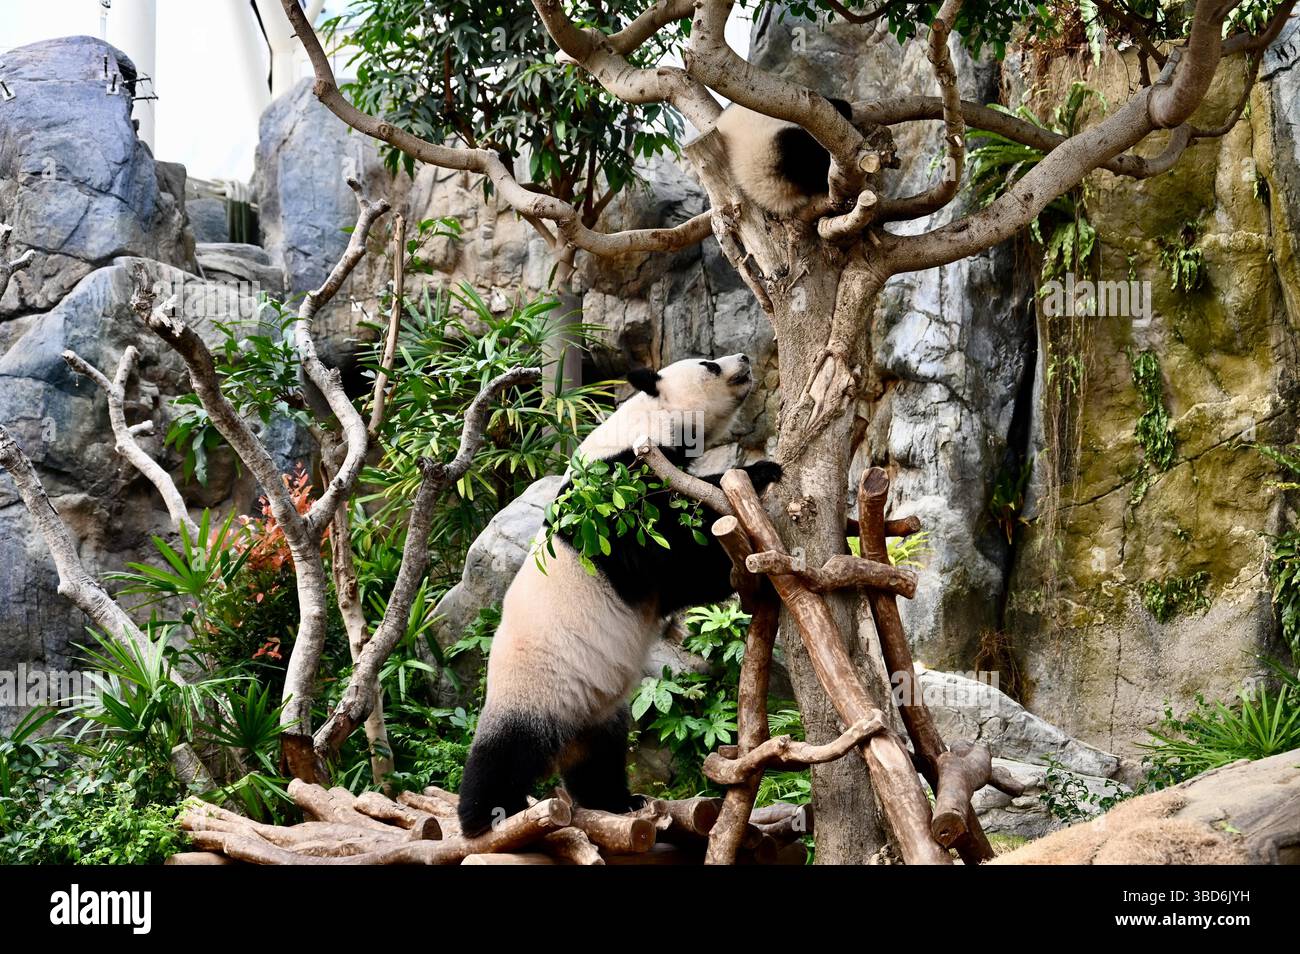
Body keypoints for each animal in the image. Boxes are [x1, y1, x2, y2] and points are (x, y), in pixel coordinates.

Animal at [457, 352, 781, 836]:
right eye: (708, 364)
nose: (742, 358)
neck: (642, 422)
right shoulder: (610, 496)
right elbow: (666, 547)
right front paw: (756, 473)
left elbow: (681, 580)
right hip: (534, 687)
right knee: (504, 753)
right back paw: (484, 814)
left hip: (598, 710)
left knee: (600, 759)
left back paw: (617, 801)